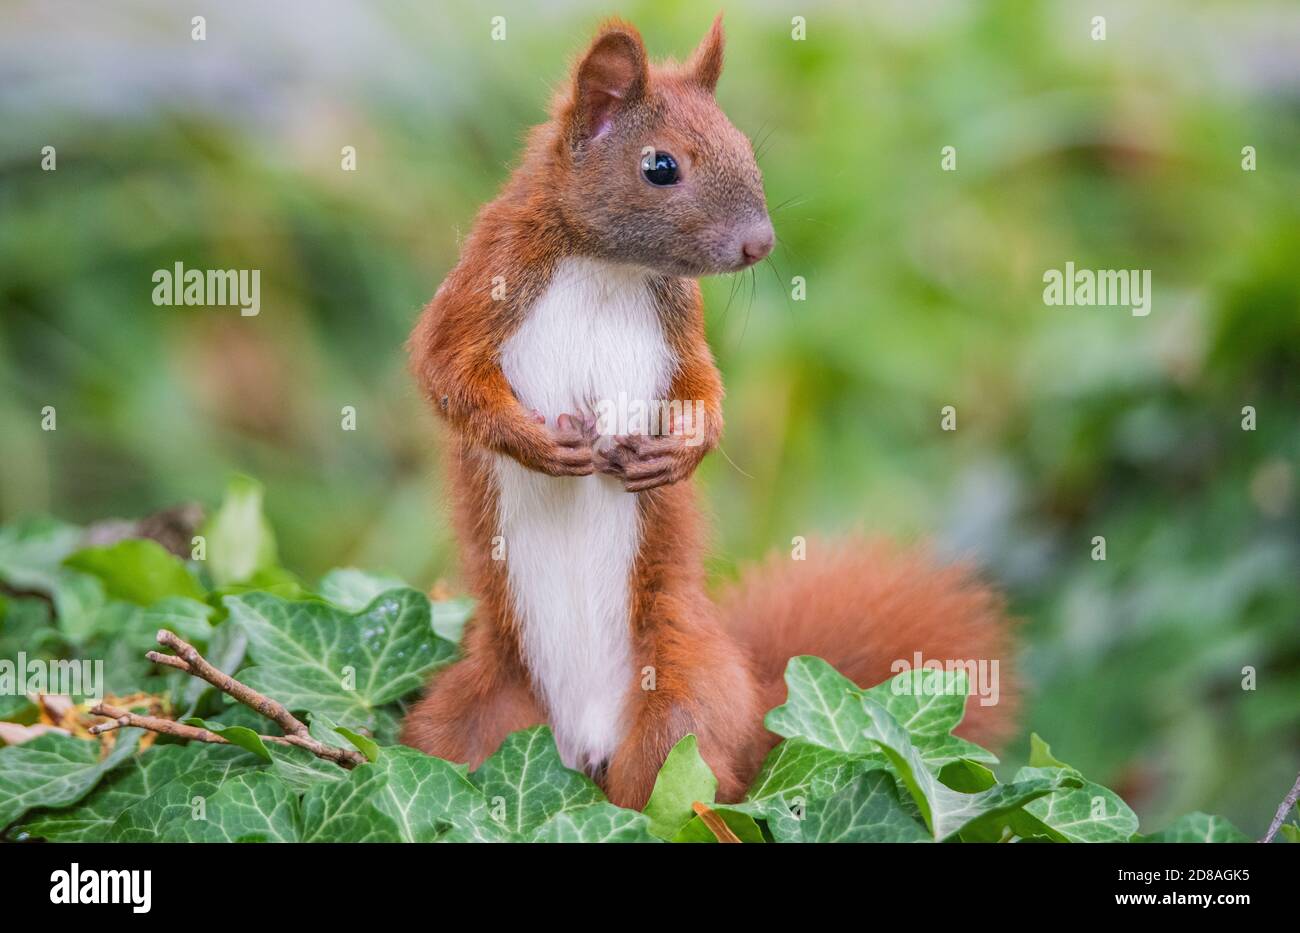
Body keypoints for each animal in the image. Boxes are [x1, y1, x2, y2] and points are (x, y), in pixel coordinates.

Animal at [401, 15, 1017, 809]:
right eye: (661, 167)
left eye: (746, 148)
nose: (760, 244)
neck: (605, 266)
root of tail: (580, 748)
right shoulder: (485, 279)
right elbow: (443, 371)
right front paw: (538, 444)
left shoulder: (681, 326)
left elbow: (703, 386)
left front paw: (683, 450)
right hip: (470, 725)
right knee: (442, 752)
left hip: (681, 710)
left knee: (682, 790)